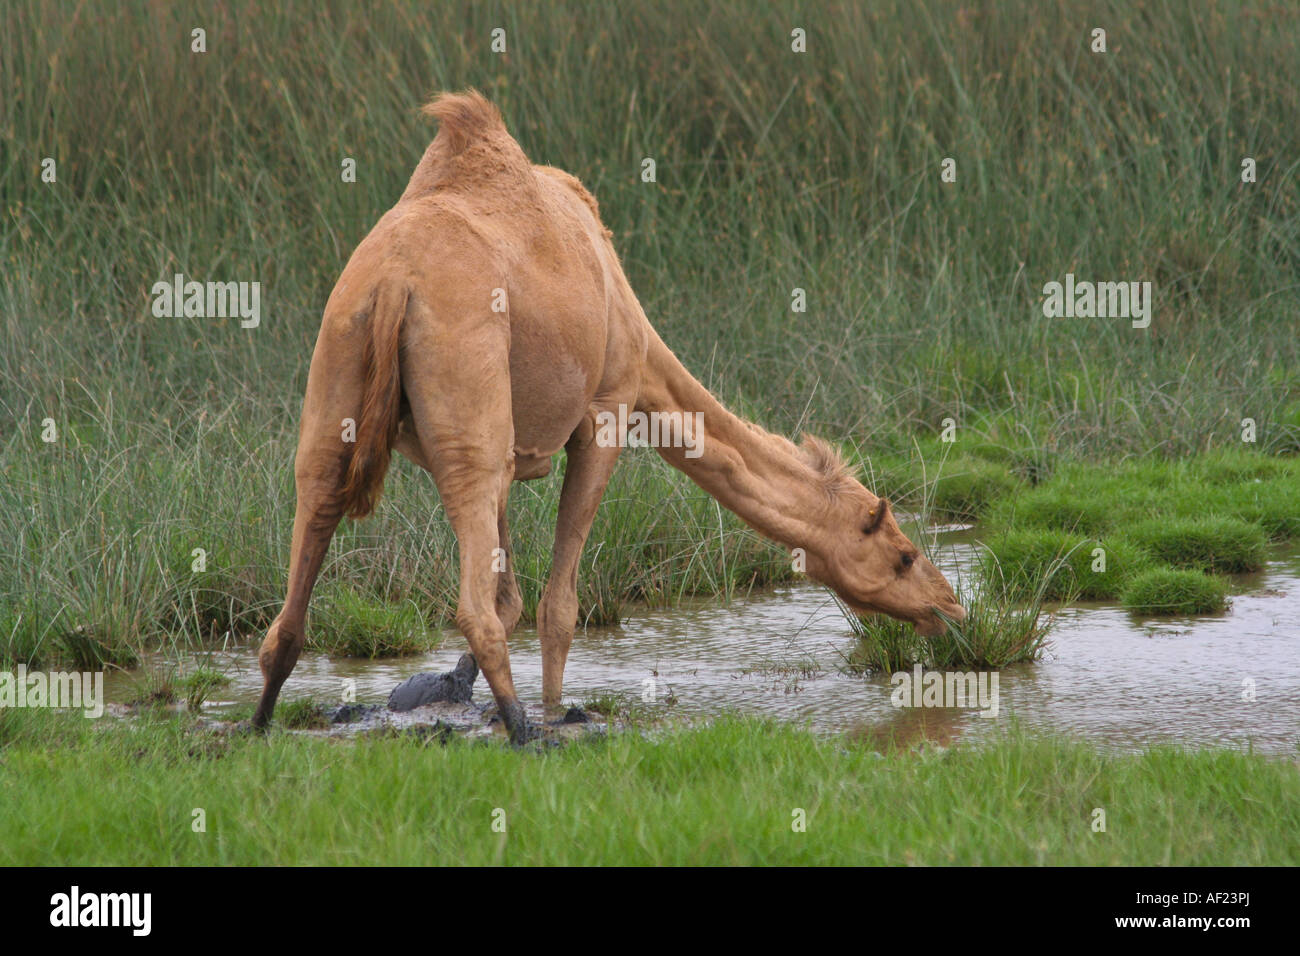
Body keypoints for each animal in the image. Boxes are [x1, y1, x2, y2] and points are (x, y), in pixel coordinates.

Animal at [252, 91, 966, 743]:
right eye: (903, 554)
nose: (951, 605)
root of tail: (394, 282)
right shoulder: (607, 412)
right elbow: (556, 605)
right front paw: (553, 713)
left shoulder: (514, 443)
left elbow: (514, 596)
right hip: (467, 406)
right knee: (474, 601)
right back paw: (526, 733)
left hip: (339, 367)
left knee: (310, 530)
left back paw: (258, 724)